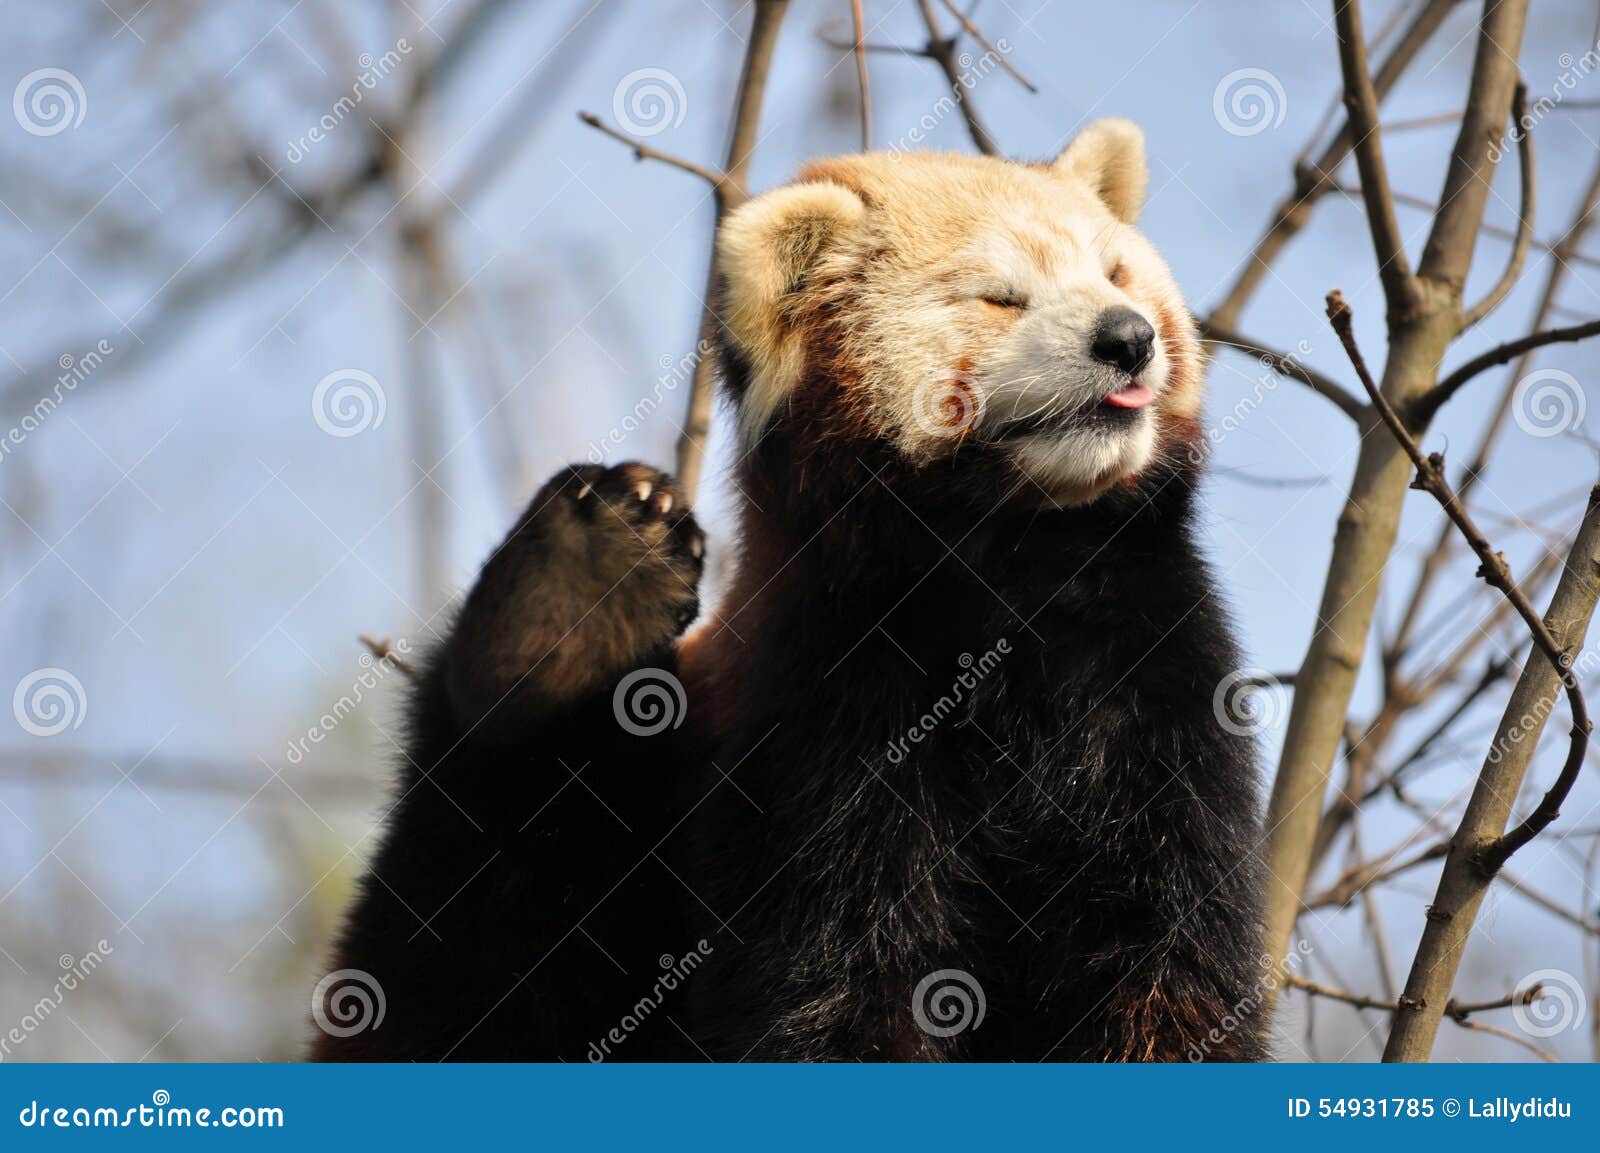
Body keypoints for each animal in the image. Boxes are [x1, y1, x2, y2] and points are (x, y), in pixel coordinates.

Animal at [311, 119, 1268, 1063]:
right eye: (1001, 297)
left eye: (1115, 275)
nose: (1128, 337)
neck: (1009, 562)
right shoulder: (827, 697)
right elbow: (828, 976)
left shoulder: (1152, 675)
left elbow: (1173, 958)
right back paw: (563, 606)